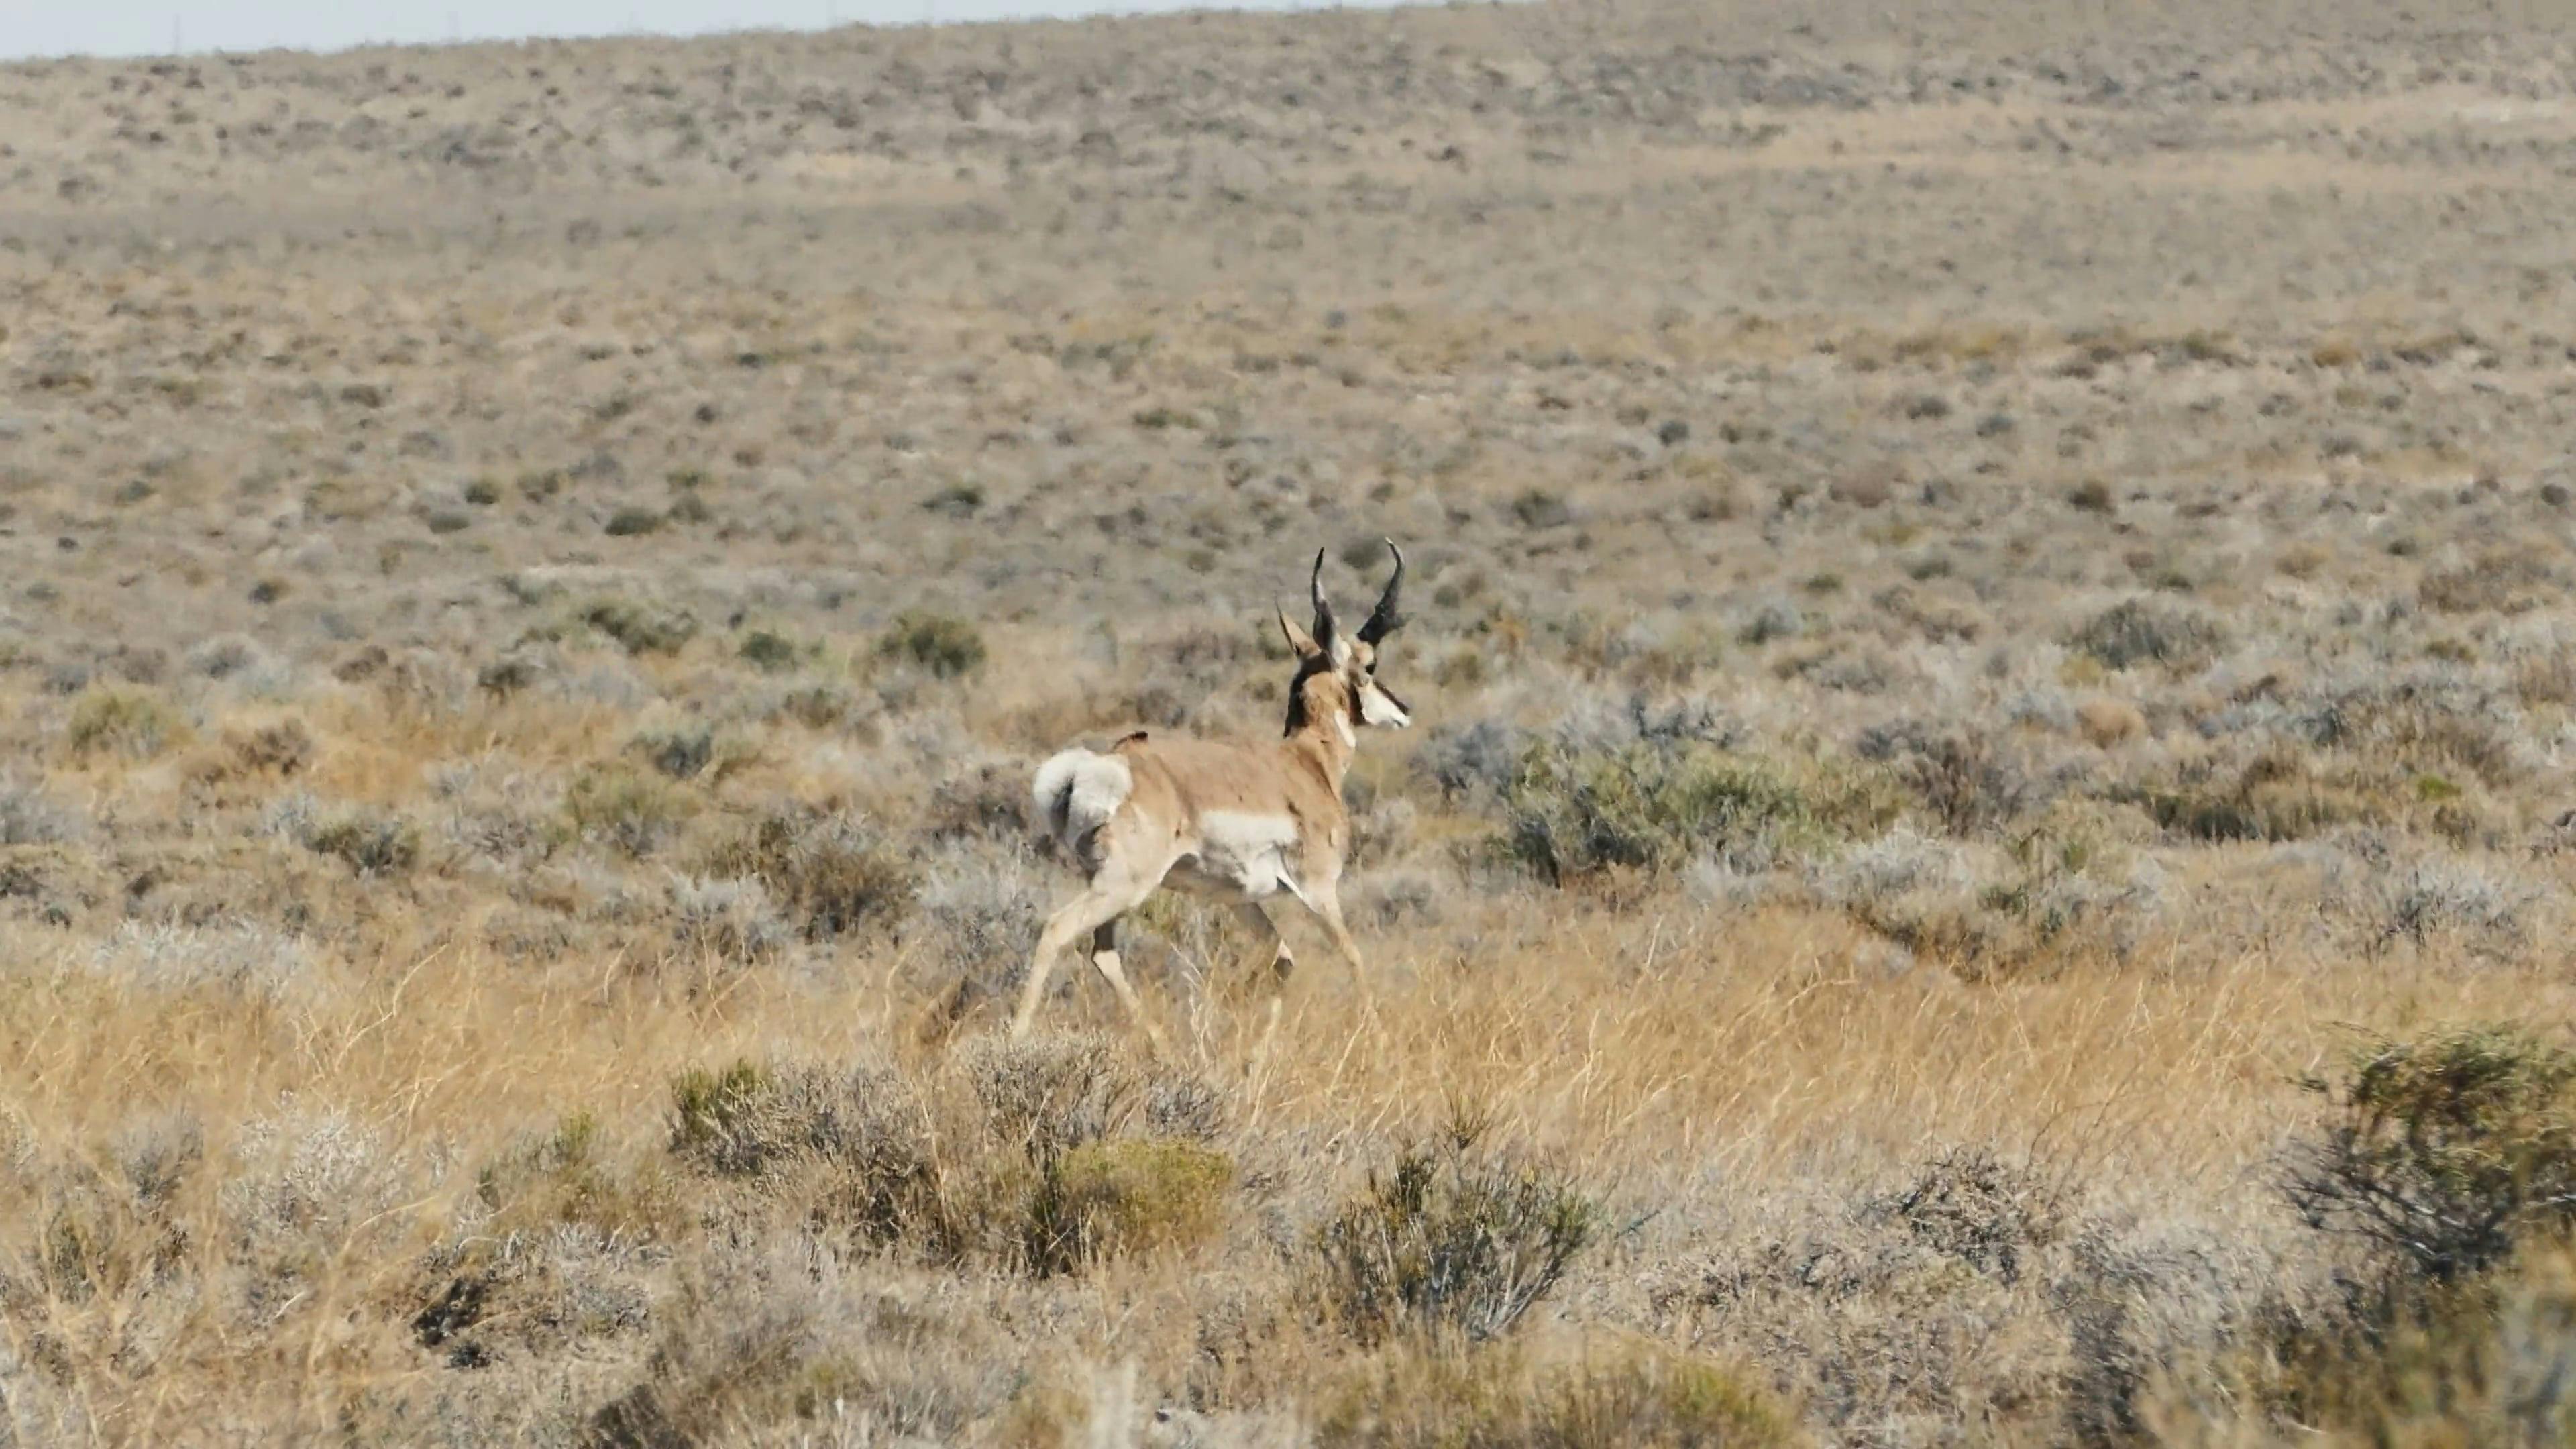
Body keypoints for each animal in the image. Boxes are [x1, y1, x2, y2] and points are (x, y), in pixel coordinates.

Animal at [1013, 540, 1412, 1042]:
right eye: (1371, 665)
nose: (1404, 710)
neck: (1304, 762)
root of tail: (1103, 765)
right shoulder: (1319, 889)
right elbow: (1352, 958)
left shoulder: (1241, 900)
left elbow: (1282, 961)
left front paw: (1258, 1054)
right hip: (1124, 885)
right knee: (1057, 928)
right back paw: (1014, 1040)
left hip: (1113, 886)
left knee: (1103, 953)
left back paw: (1162, 1048)